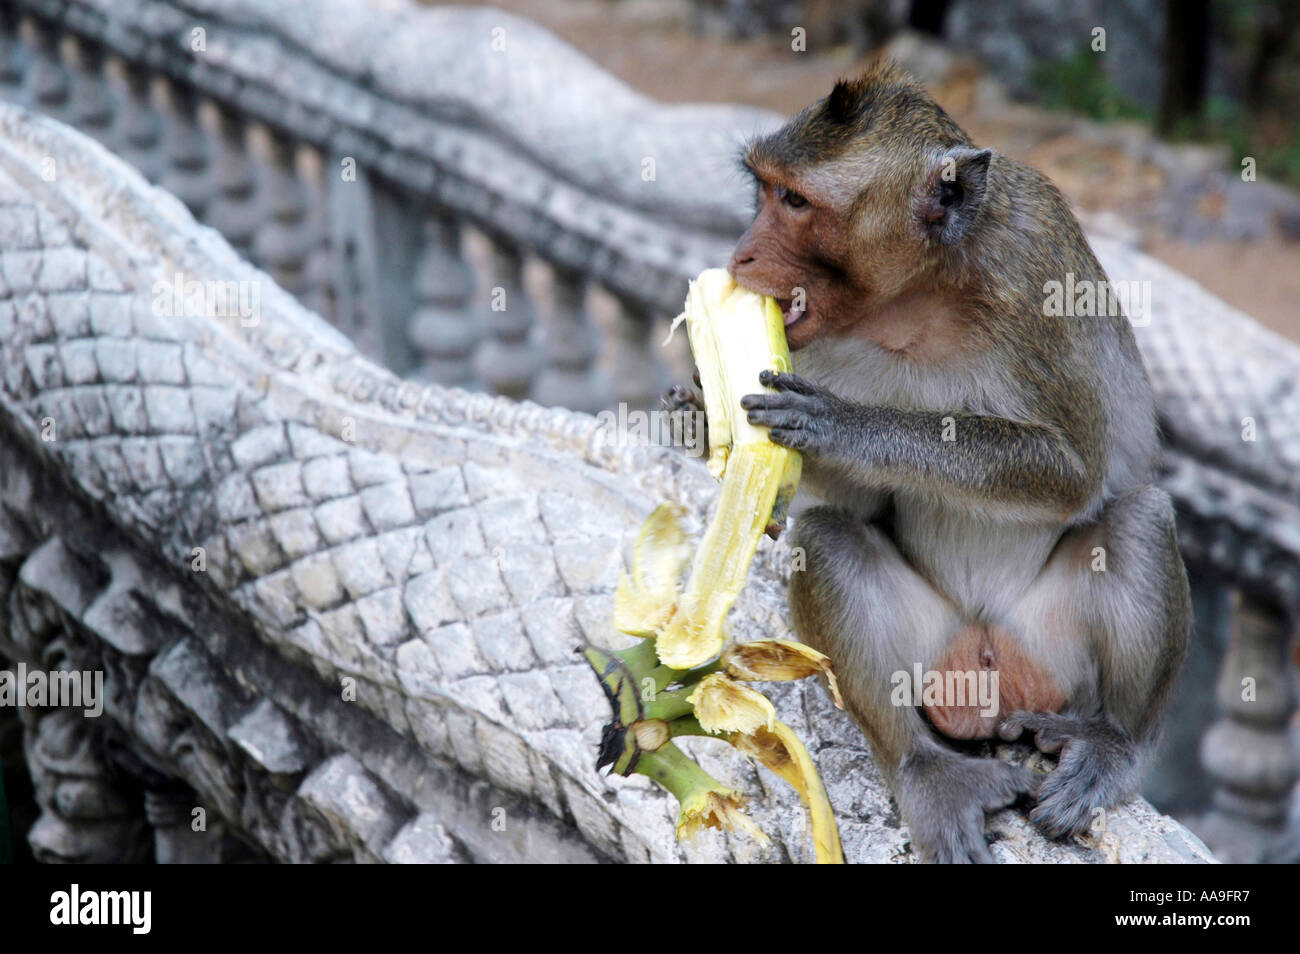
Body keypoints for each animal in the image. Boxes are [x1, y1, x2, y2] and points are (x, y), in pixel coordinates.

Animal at [664, 62, 1190, 863]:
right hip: (933, 648)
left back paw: (1110, 745)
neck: (919, 296)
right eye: (765, 190)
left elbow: (1073, 470)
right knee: (830, 539)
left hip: (1059, 650)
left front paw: (844, 425)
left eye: (795, 200)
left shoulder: (1034, 270)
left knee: (1136, 515)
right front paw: (697, 413)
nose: (739, 258)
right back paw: (924, 768)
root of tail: (990, 671)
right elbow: (844, 504)